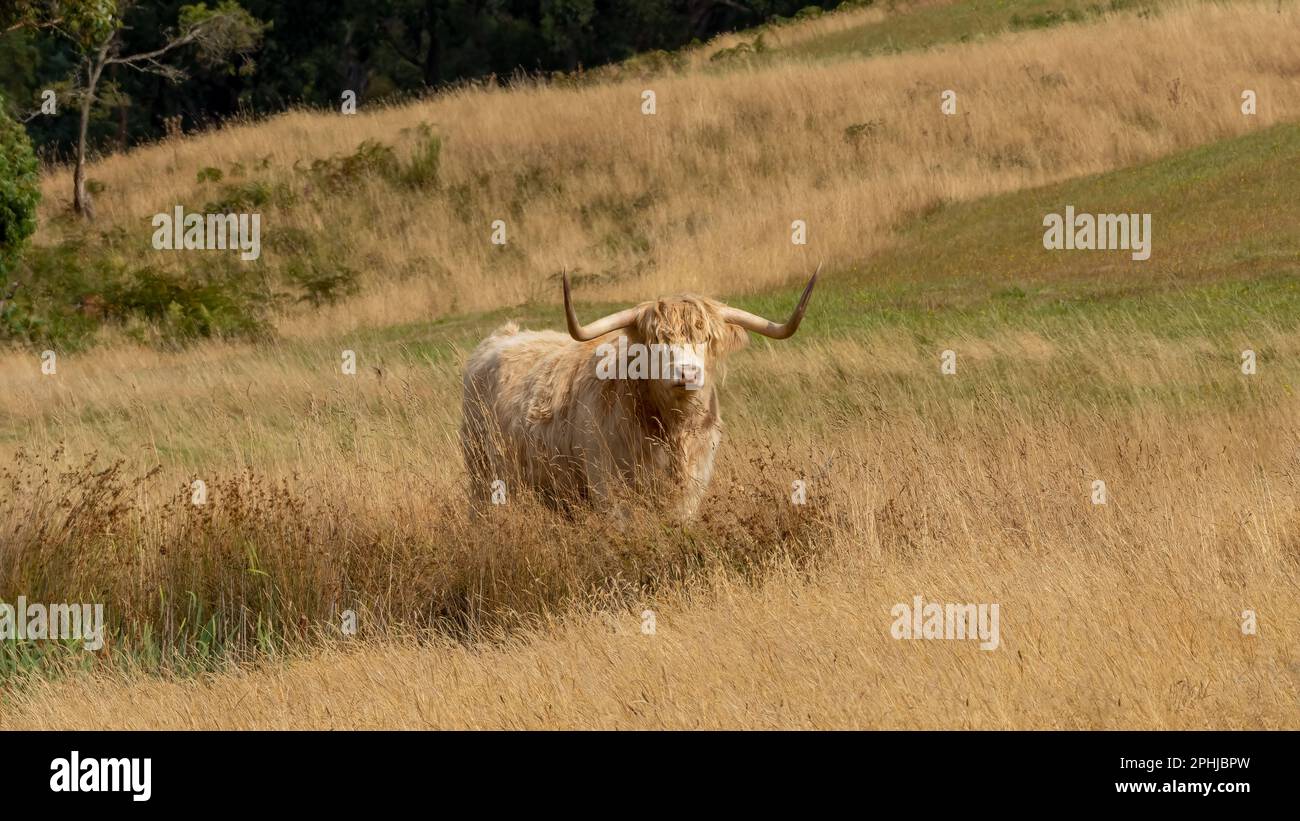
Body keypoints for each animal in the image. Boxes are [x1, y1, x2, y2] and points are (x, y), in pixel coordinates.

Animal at [460, 272, 817, 520]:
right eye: (657, 340)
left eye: (705, 337)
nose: (687, 373)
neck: (673, 432)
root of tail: (500, 338)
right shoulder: (609, 491)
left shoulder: (692, 488)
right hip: (484, 478)